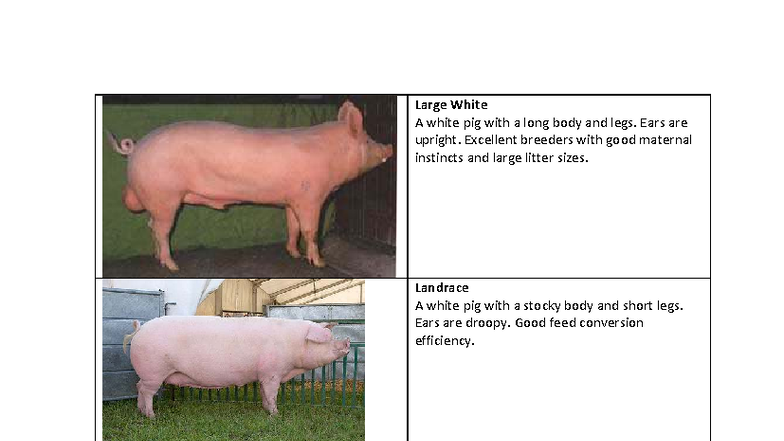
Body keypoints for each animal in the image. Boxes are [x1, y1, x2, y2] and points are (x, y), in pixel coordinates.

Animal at [107, 101, 394, 271]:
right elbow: (311, 230)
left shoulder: (292, 199)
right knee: (161, 230)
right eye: (368, 141)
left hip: (158, 201)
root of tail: (135, 149)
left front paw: (293, 254)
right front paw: (319, 263)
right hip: (166, 197)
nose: (390, 146)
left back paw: (159, 260)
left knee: (151, 226)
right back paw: (173, 266)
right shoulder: (312, 197)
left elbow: (293, 226)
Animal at [123, 316, 351, 418]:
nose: (348, 341)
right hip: (154, 371)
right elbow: (272, 394)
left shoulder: (263, 374)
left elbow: (264, 393)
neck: (293, 345)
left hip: (147, 374)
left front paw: (266, 410)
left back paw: (141, 412)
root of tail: (140, 329)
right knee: (146, 391)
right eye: (329, 338)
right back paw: (151, 416)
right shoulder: (272, 373)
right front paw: (275, 414)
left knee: (138, 387)